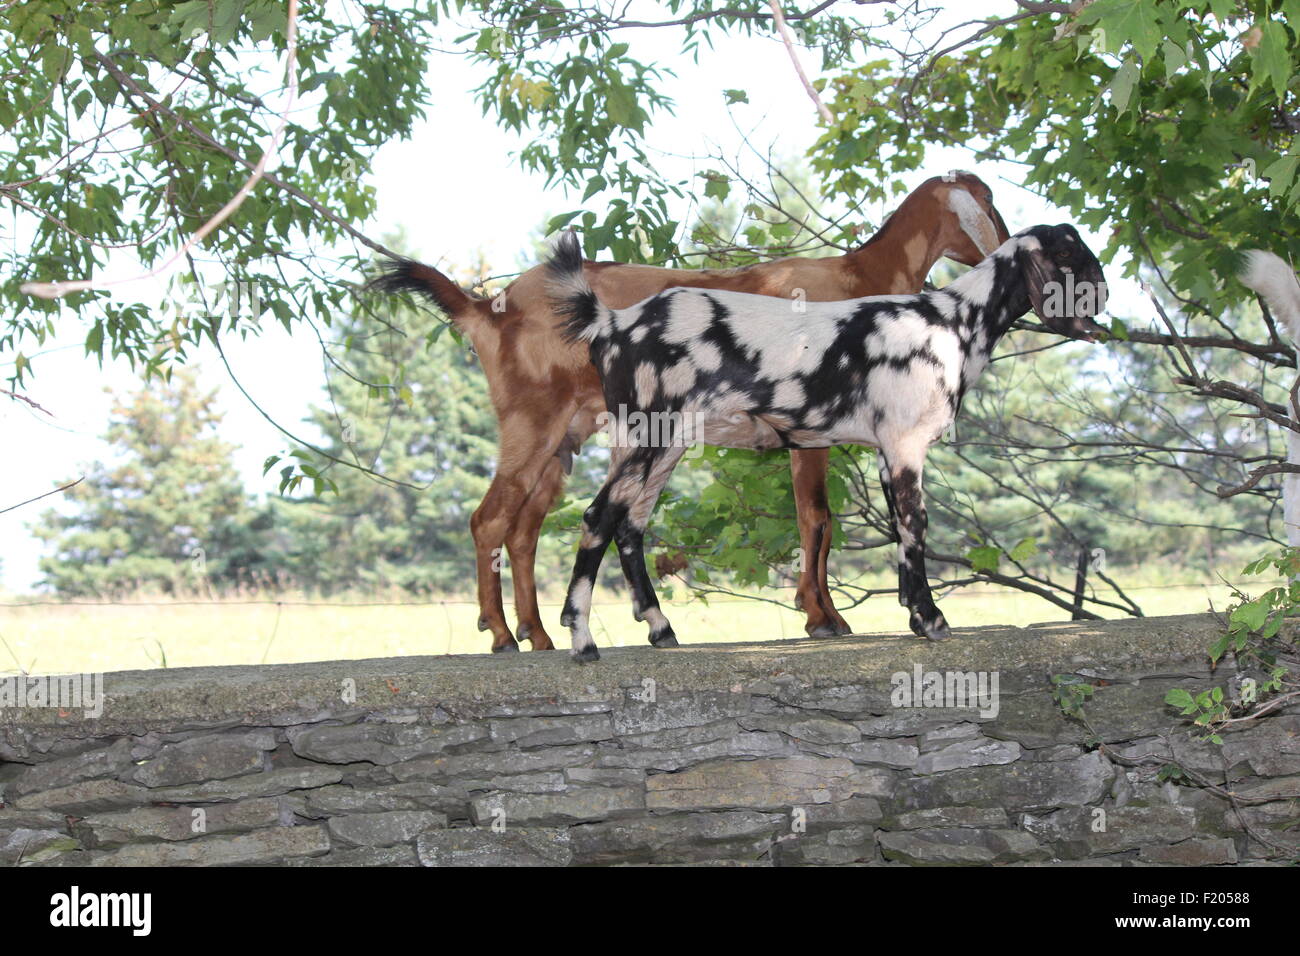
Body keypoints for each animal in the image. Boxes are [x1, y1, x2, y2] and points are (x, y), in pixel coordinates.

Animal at [371, 172, 1010, 653]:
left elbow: (821, 522)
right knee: (490, 519)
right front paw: (823, 617)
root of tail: (488, 307)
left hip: (568, 438)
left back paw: (538, 634)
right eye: (990, 200)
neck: (859, 278)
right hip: (532, 421)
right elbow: (817, 520)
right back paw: (504, 636)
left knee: (525, 528)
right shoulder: (811, 437)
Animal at [548, 224, 1108, 661]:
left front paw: (912, 612)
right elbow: (916, 525)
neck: (952, 324)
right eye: (1070, 254)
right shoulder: (906, 442)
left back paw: (661, 629)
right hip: (650, 431)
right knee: (600, 516)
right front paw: (932, 620)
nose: (1103, 297)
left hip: (662, 442)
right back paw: (582, 639)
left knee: (631, 525)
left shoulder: (886, 450)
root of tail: (612, 323)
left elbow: (901, 529)